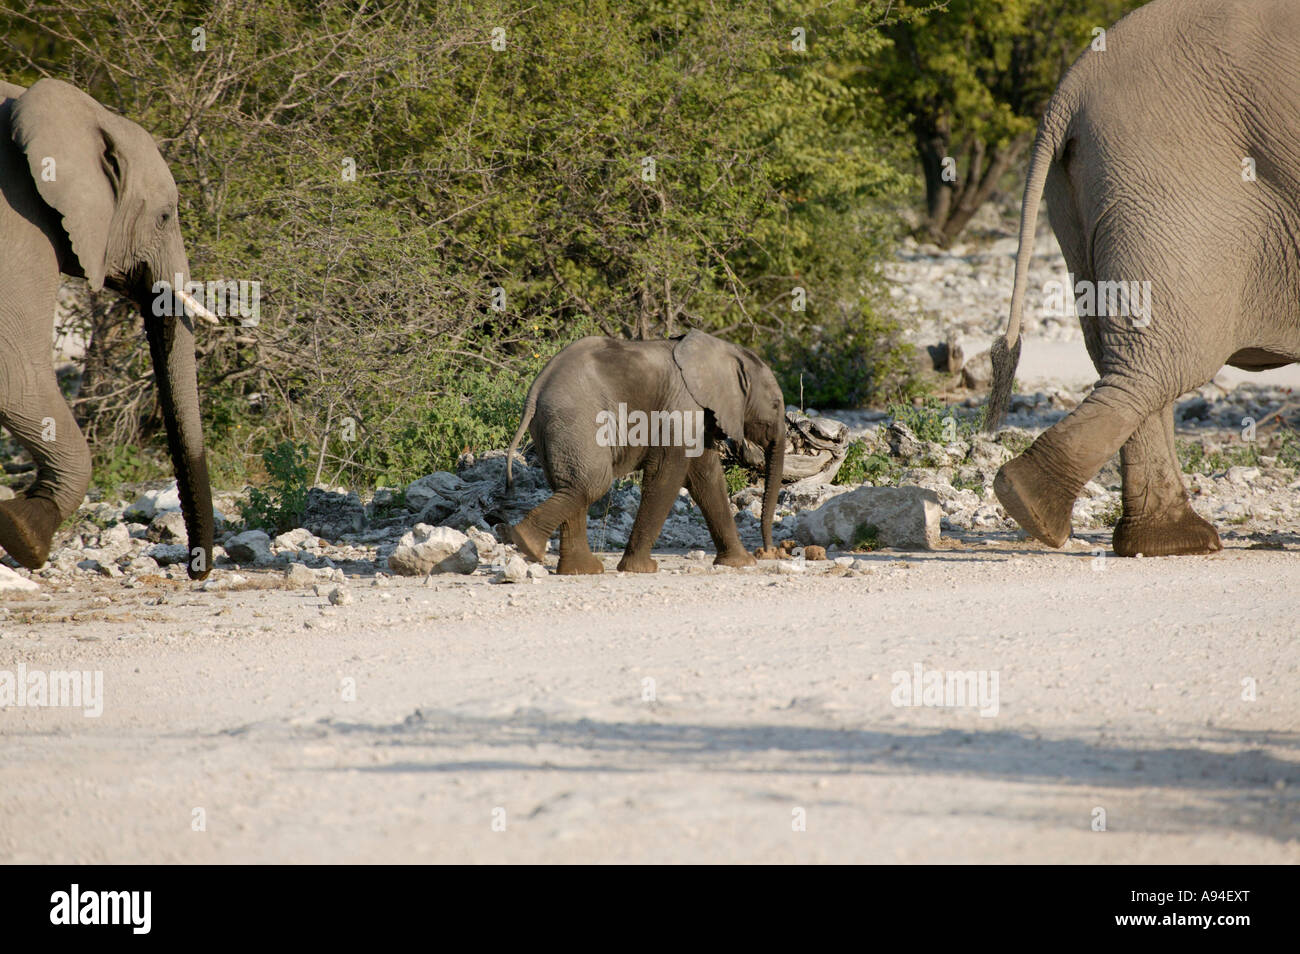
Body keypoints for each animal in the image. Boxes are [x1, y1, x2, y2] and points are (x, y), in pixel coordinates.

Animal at [505, 331, 786, 574]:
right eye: (775, 404)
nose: (767, 551)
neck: (726, 352)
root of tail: (535, 390)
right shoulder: (681, 407)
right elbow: (666, 474)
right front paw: (640, 568)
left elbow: (707, 477)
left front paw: (741, 563)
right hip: (576, 418)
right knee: (592, 483)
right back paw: (526, 543)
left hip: (554, 427)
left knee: (571, 485)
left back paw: (579, 569)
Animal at [985, 0, 1300, 557]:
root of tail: (1069, 90)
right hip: (1175, 180)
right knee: (1163, 359)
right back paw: (1037, 508)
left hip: (1088, 191)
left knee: (1127, 350)